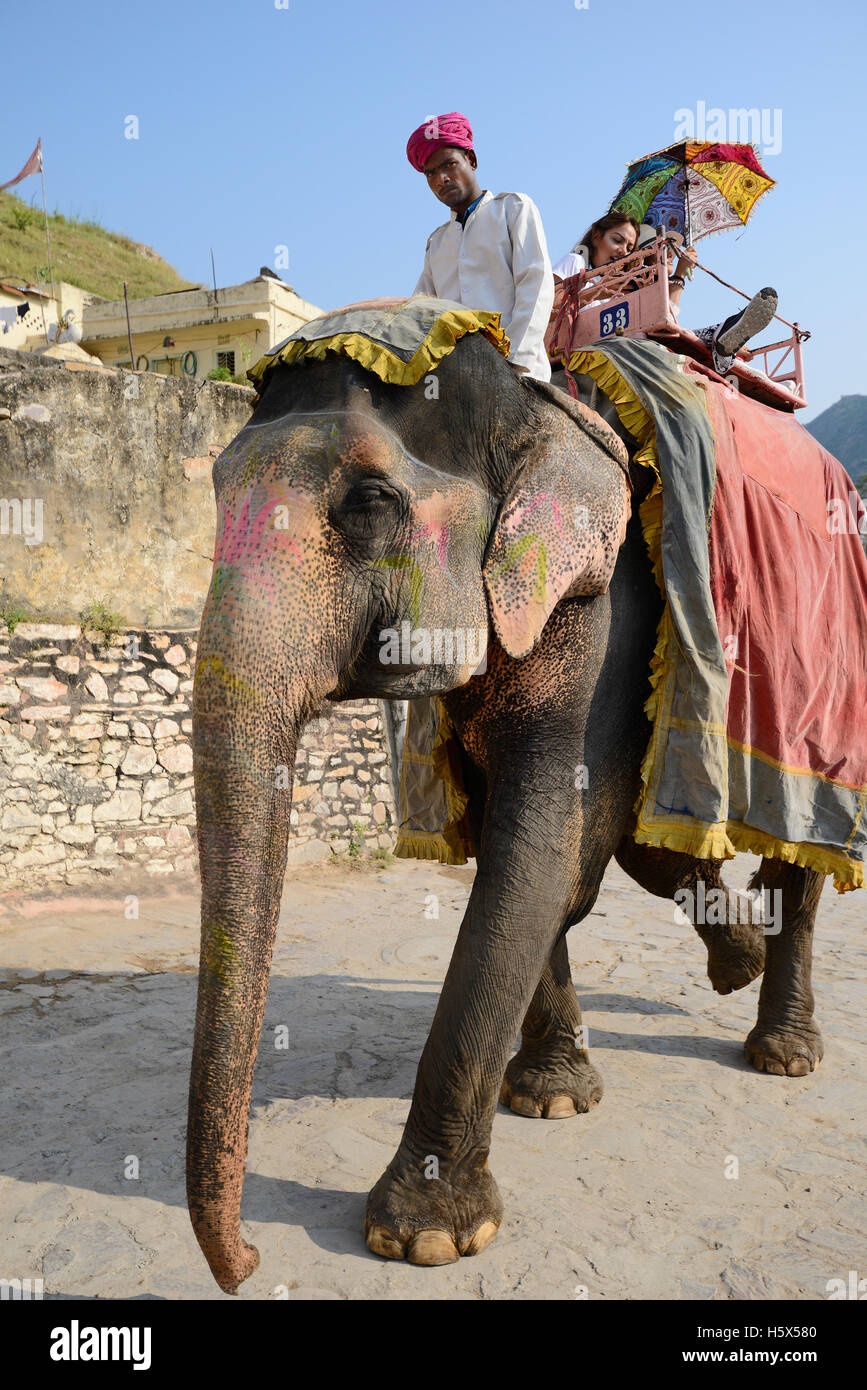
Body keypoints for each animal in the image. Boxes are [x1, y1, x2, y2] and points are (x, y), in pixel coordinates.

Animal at [187, 327, 826, 1294]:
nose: (250, 1262)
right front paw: (550, 1097)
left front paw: (423, 1237)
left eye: (369, 502)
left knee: (794, 852)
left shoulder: (598, 606)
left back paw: (784, 1052)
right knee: (655, 850)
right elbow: (531, 859)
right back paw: (735, 964)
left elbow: (543, 851)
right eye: (216, 490)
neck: (534, 404)